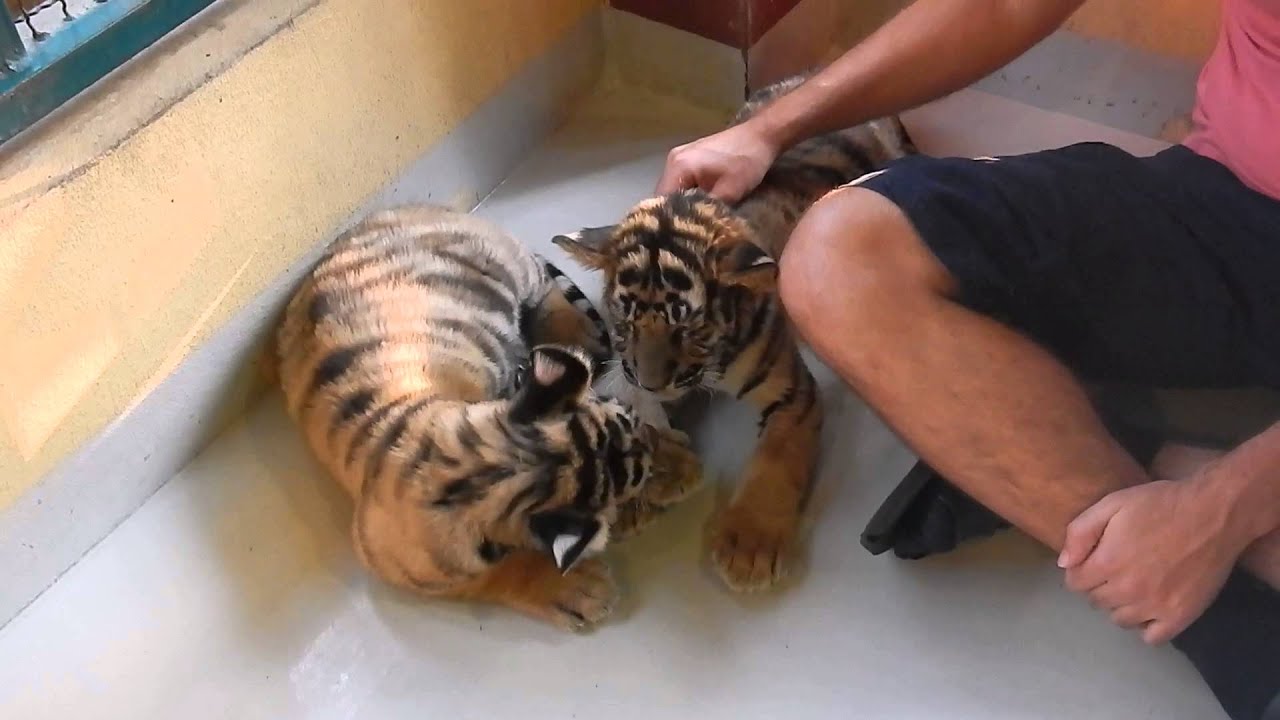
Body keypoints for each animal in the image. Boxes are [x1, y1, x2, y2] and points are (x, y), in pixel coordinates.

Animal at [275, 204, 701, 632]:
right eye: (638, 481)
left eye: (633, 418)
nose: (696, 470)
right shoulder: (400, 562)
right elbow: (494, 573)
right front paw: (582, 589)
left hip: (509, 266)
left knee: (542, 285)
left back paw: (579, 336)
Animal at [552, 72, 918, 592]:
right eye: (624, 322)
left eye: (688, 328)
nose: (653, 382)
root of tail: (810, 74)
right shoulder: (631, 373)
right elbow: (632, 409)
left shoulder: (792, 395)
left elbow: (776, 462)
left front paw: (749, 547)